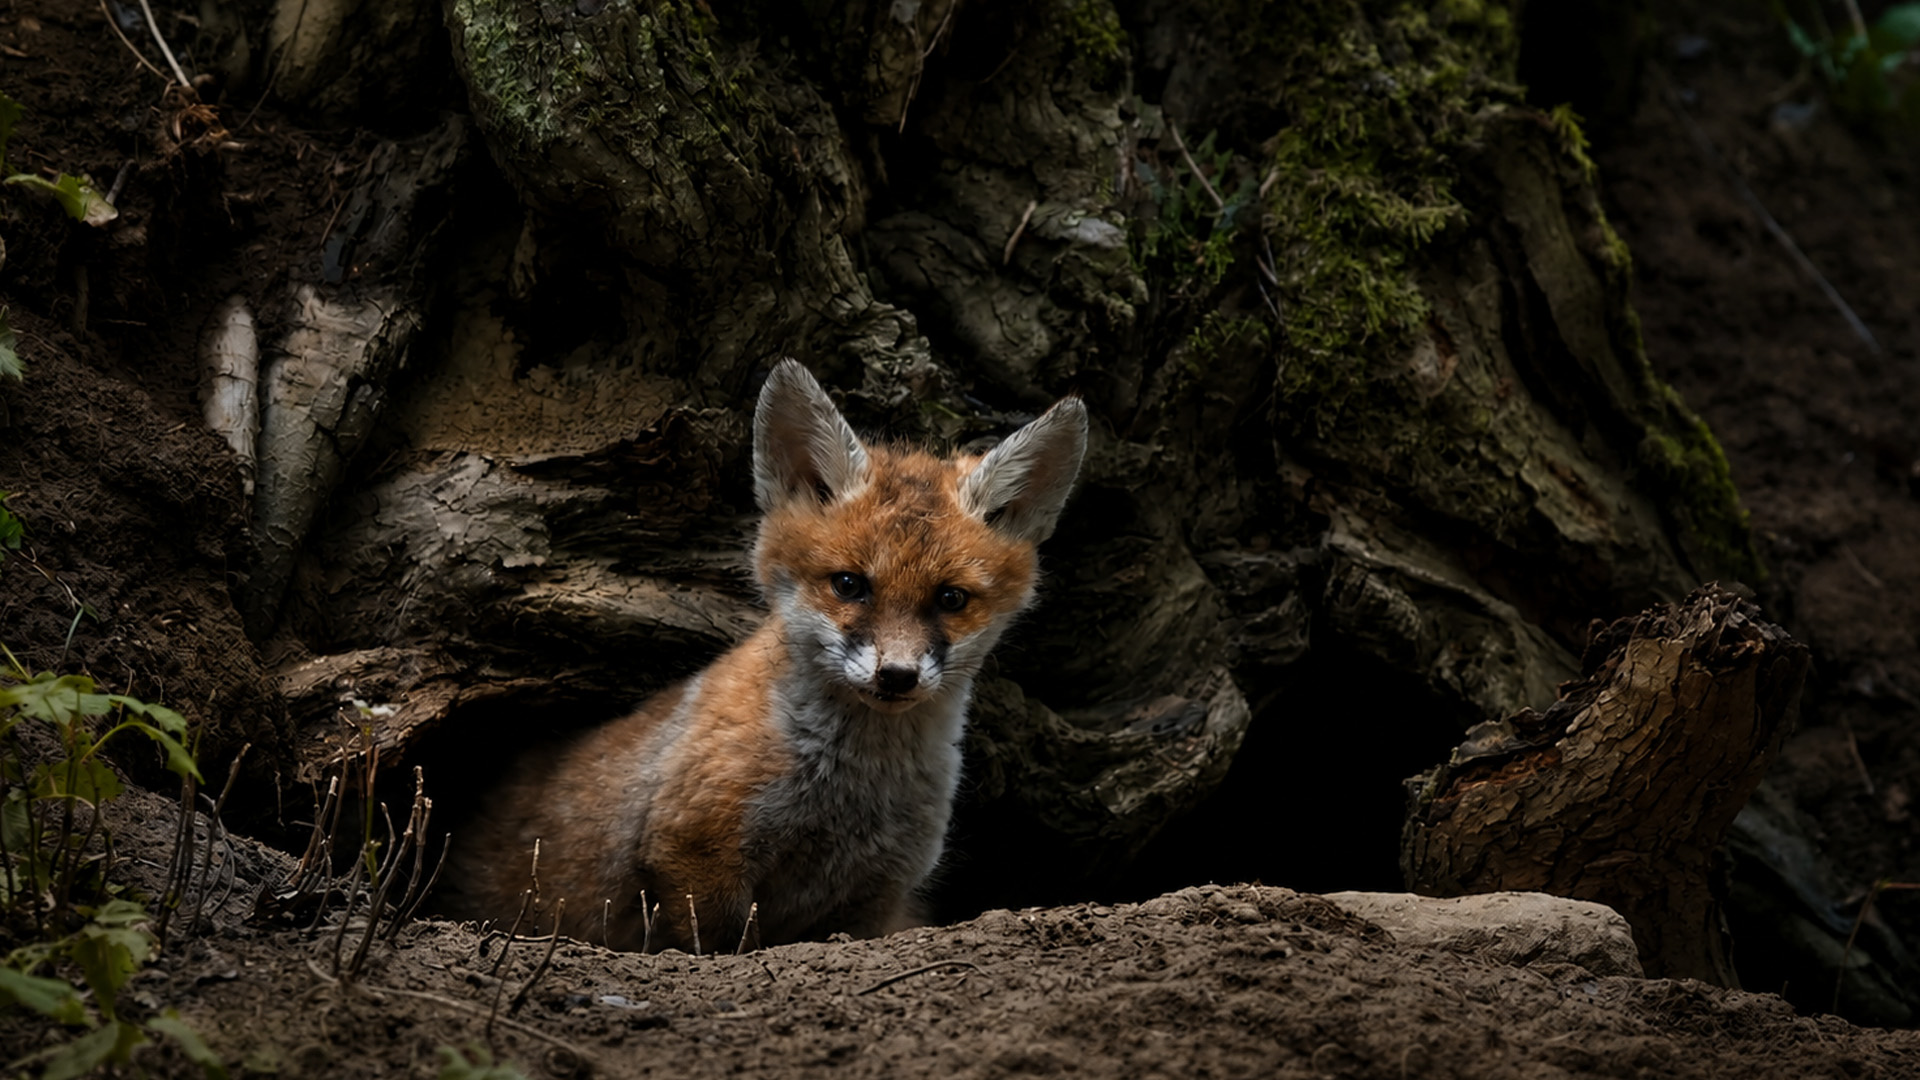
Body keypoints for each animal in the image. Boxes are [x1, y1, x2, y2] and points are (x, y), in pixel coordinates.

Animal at [437, 360, 1087, 952]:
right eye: (850, 585)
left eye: (951, 598)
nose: (897, 676)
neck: (851, 793)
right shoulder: (697, 855)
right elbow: (724, 945)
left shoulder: (876, 894)